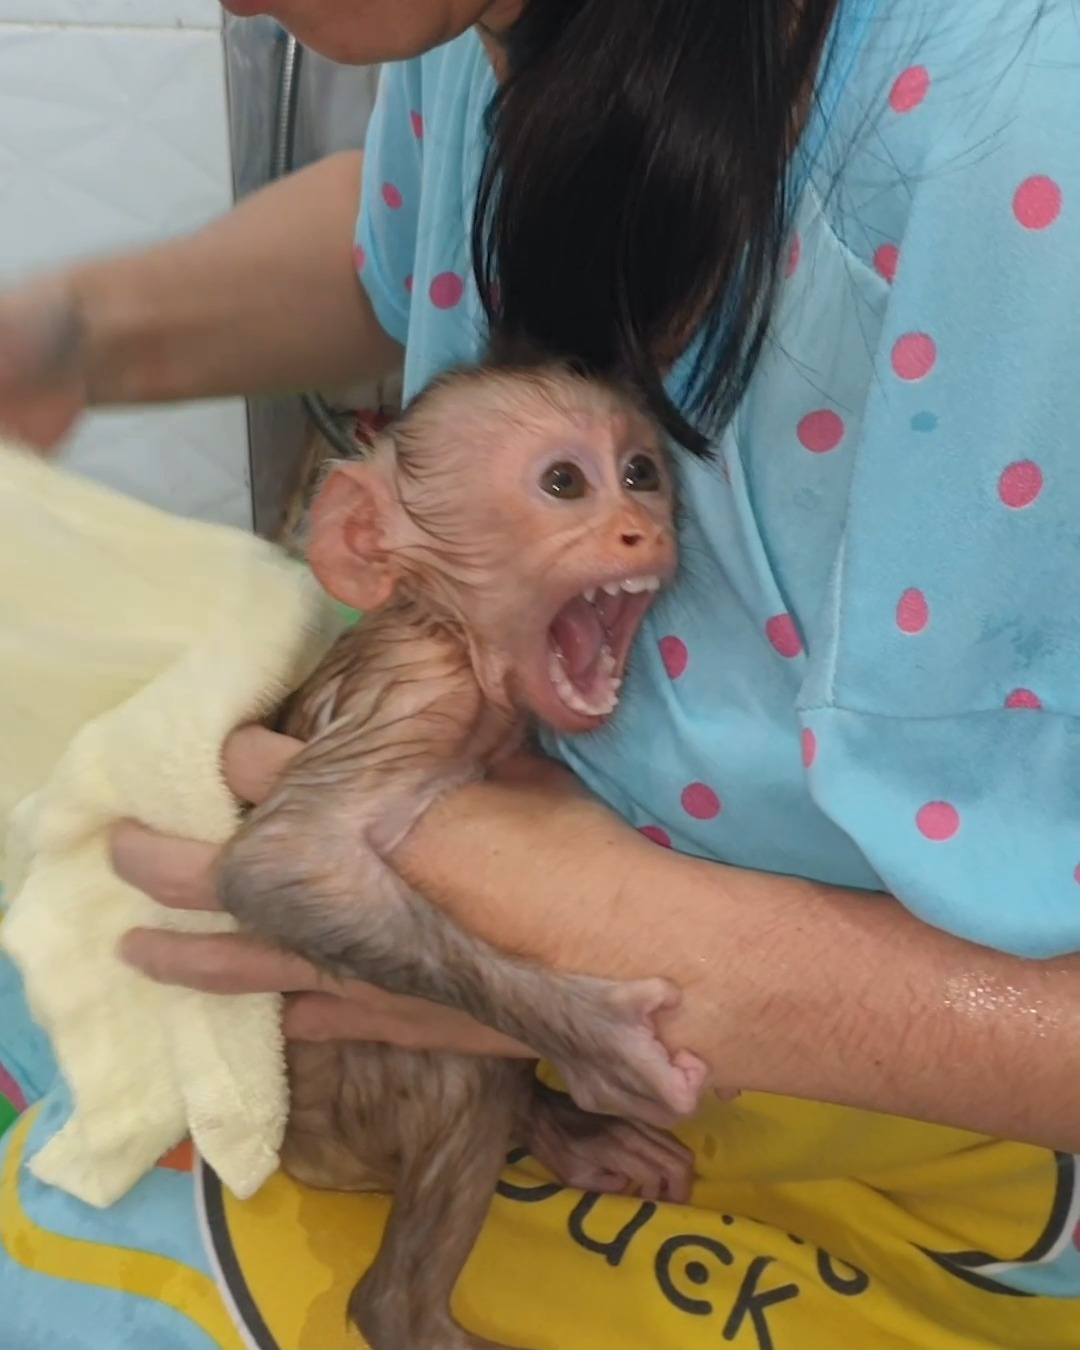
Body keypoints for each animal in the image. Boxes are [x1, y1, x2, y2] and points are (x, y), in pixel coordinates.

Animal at [215, 362, 709, 1350]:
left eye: (641, 473)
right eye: (565, 483)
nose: (645, 526)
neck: (448, 627)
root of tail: (296, 1160)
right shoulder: (419, 692)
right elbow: (278, 861)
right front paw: (596, 1036)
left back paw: (563, 1132)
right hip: (355, 1118)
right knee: (465, 1079)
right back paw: (408, 1313)